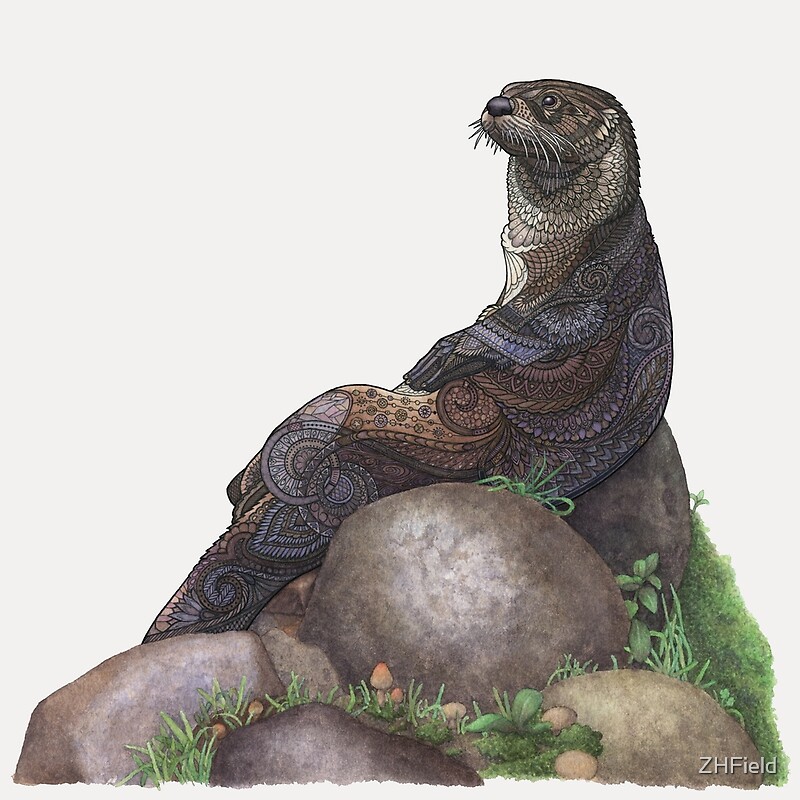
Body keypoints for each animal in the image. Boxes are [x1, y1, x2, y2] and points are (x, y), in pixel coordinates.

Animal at [143, 79, 672, 642]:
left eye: (549, 100)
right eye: (507, 88)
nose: (498, 104)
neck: (540, 253)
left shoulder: (607, 273)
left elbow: (554, 328)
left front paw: (452, 349)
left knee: (339, 408)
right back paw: (243, 484)